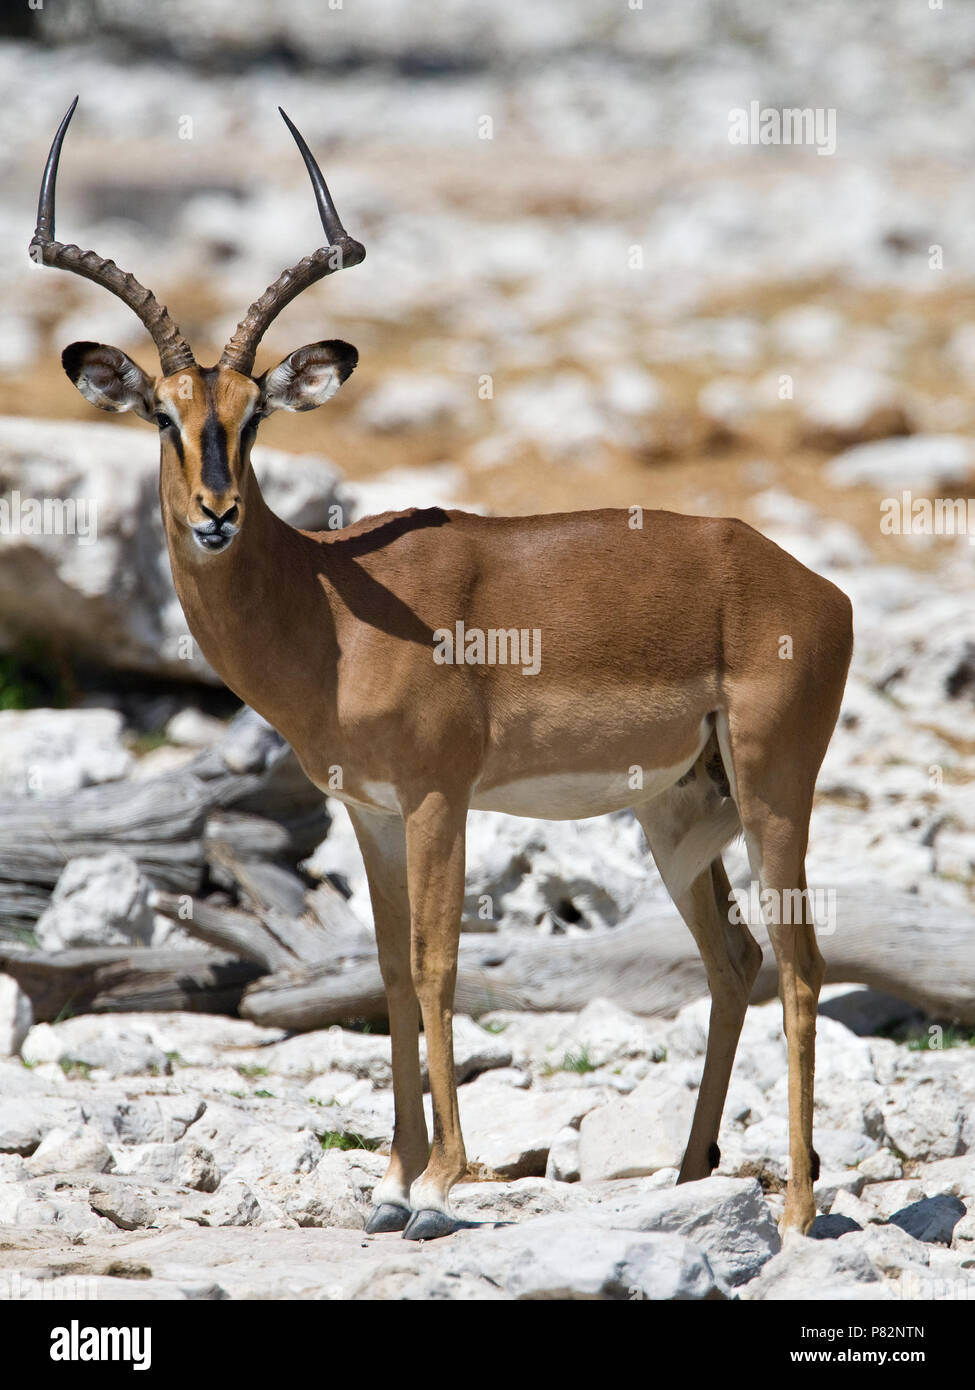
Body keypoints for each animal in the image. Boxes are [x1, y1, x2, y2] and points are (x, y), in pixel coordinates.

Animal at [32, 98, 853, 1240]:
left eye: (254, 412)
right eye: (163, 411)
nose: (215, 513)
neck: (328, 610)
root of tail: (806, 583)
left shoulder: (437, 796)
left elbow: (436, 960)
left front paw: (438, 1185)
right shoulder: (367, 810)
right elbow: (382, 969)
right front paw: (388, 1178)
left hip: (775, 790)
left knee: (802, 965)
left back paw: (797, 1213)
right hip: (678, 812)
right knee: (733, 962)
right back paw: (692, 1176)